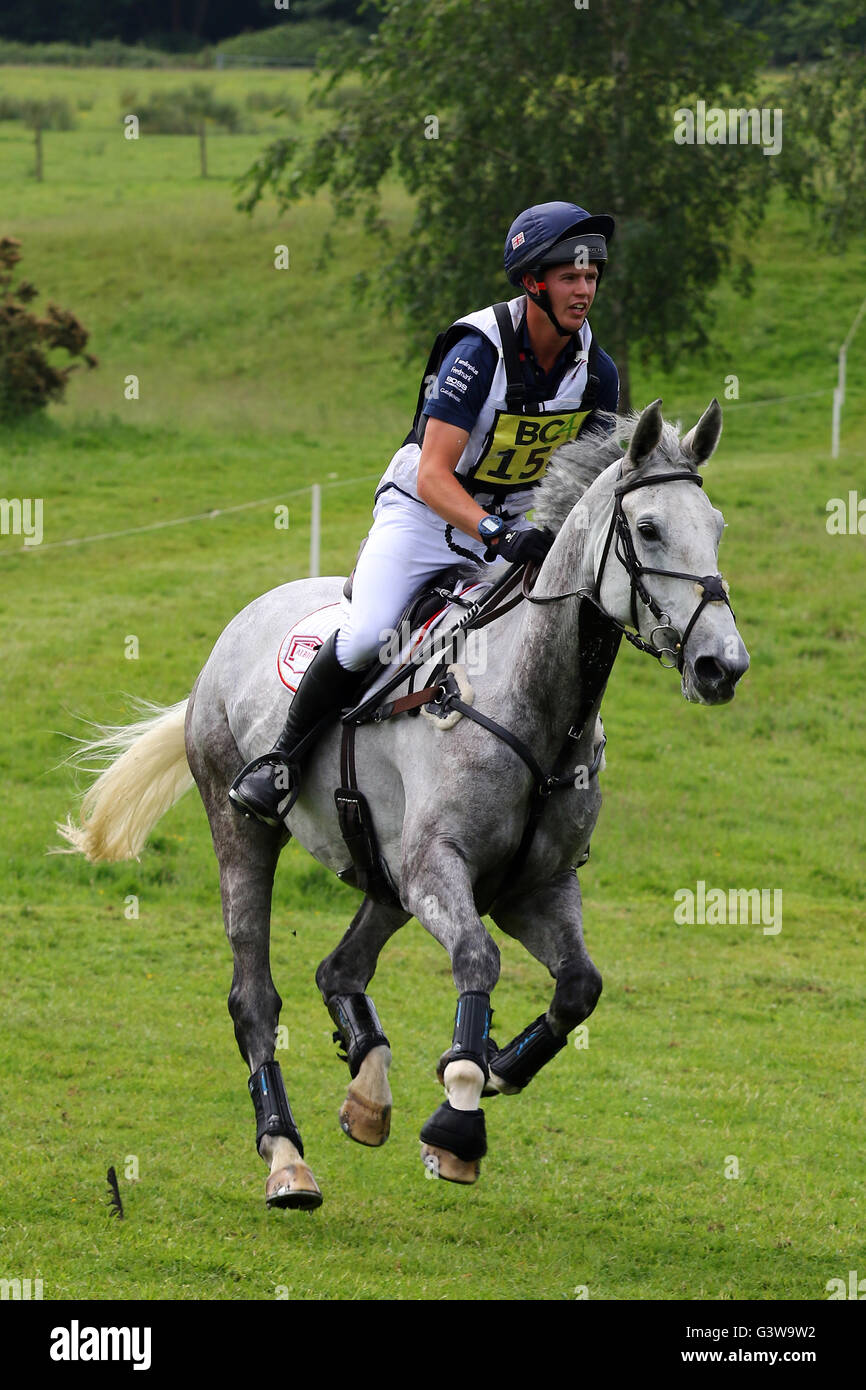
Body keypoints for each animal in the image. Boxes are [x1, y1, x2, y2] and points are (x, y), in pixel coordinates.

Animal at [58, 398, 749, 1209]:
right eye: (647, 529)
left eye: (717, 526)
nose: (722, 666)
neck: (534, 703)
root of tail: (243, 621)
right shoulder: (436, 869)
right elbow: (478, 960)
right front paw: (457, 1122)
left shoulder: (536, 887)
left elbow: (580, 987)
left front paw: (495, 1067)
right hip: (245, 831)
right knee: (254, 998)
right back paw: (286, 1158)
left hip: (383, 870)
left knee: (339, 970)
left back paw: (368, 1093)